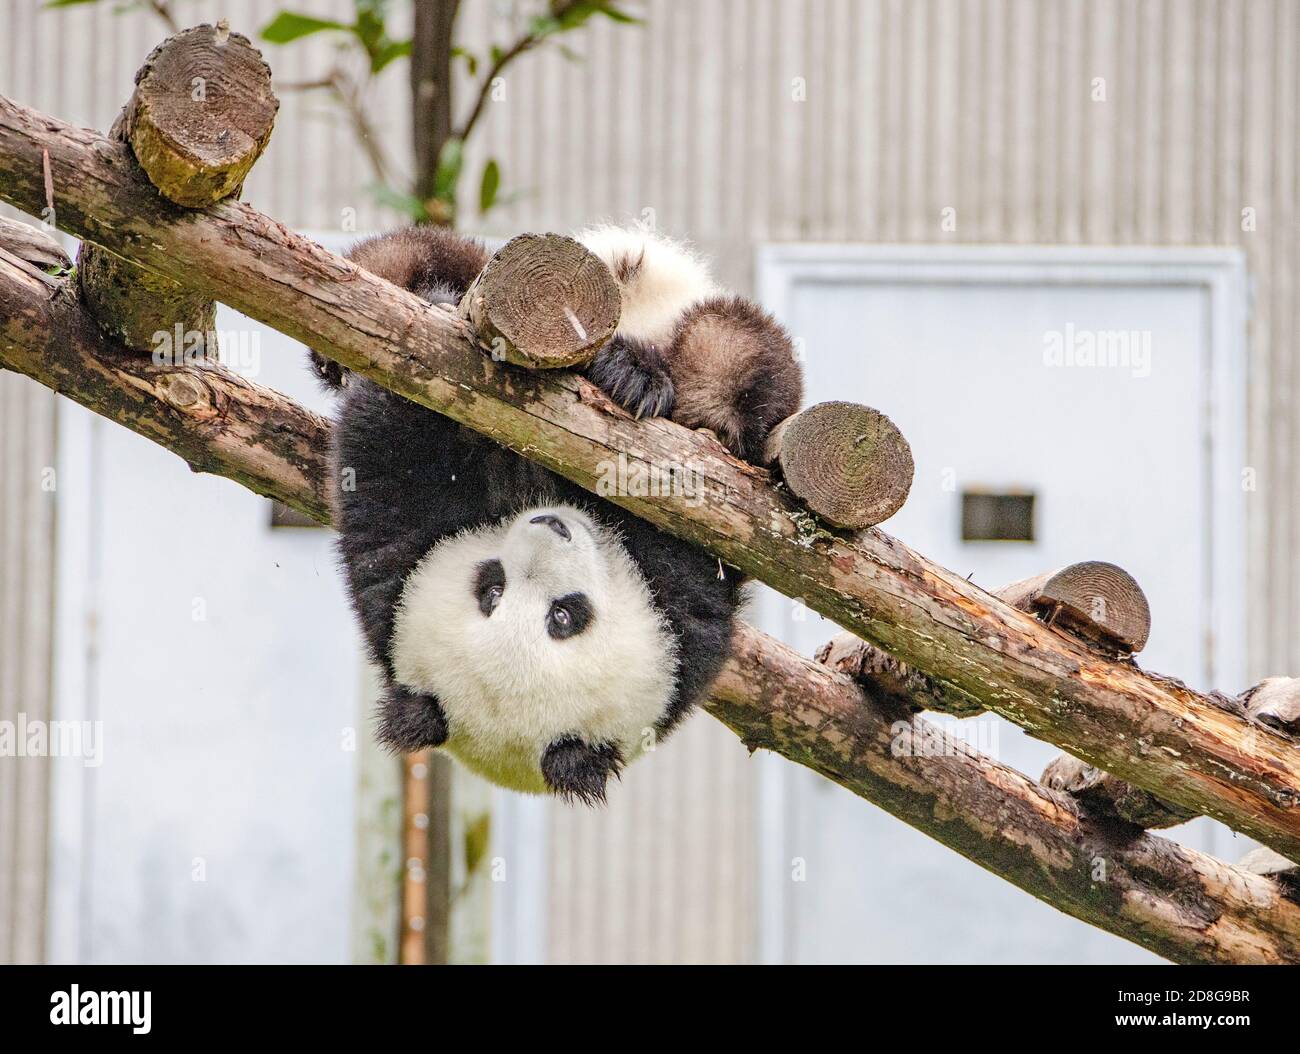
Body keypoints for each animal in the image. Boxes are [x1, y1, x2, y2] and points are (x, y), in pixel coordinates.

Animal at [312, 223, 802, 804]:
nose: (551, 526)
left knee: (731, 344)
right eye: (493, 590)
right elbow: (391, 455)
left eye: (563, 616)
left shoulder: (689, 620)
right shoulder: (390, 574)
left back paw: (640, 377)